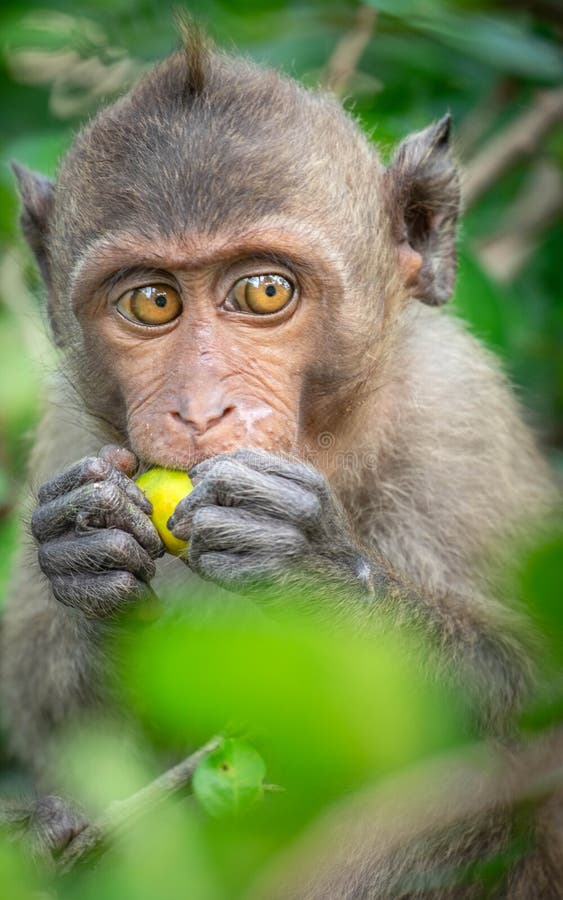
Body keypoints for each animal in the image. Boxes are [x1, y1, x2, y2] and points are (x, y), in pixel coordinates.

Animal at [1, 27, 559, 894]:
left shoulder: (456, 416)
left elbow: (530, 704)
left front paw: (311, 566)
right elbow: (55, 722)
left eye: (264, 292)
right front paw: (87, 558)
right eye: (152, 301)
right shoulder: (68, 431)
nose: (201, 409)